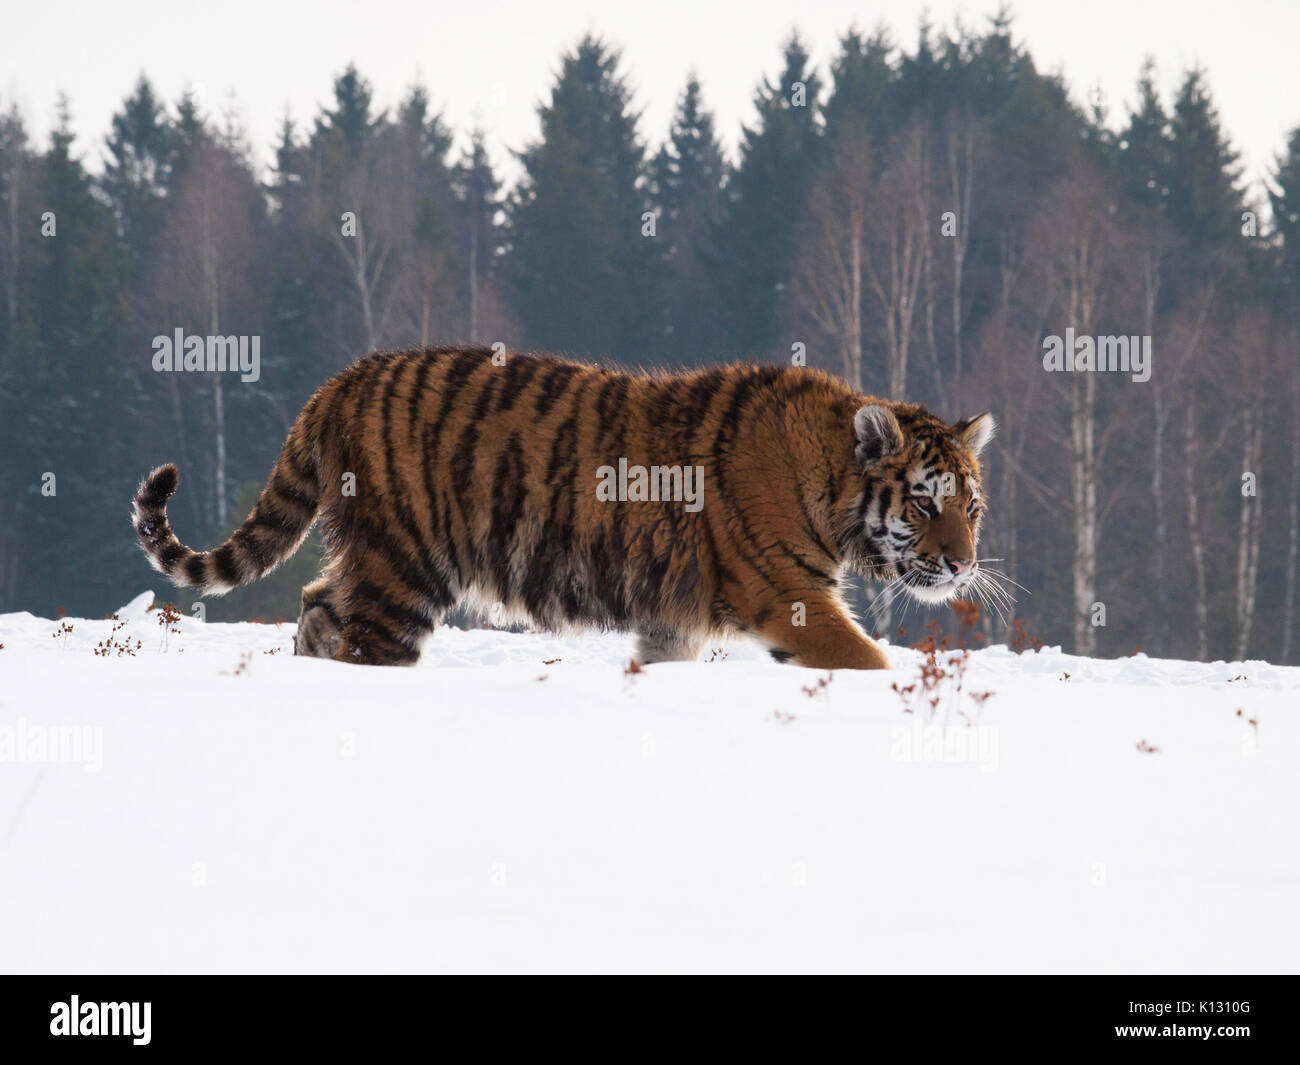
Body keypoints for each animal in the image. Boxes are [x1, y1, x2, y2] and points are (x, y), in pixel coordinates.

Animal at [132, 346, 995, 669]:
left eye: (973, 507)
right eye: (925, 504)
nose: (963, 565)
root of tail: (339, 380)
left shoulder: (676, 619)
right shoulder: (791, 599)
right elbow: (867, 660)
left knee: (317, 599)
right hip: (404, 568)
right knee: (363, 640)